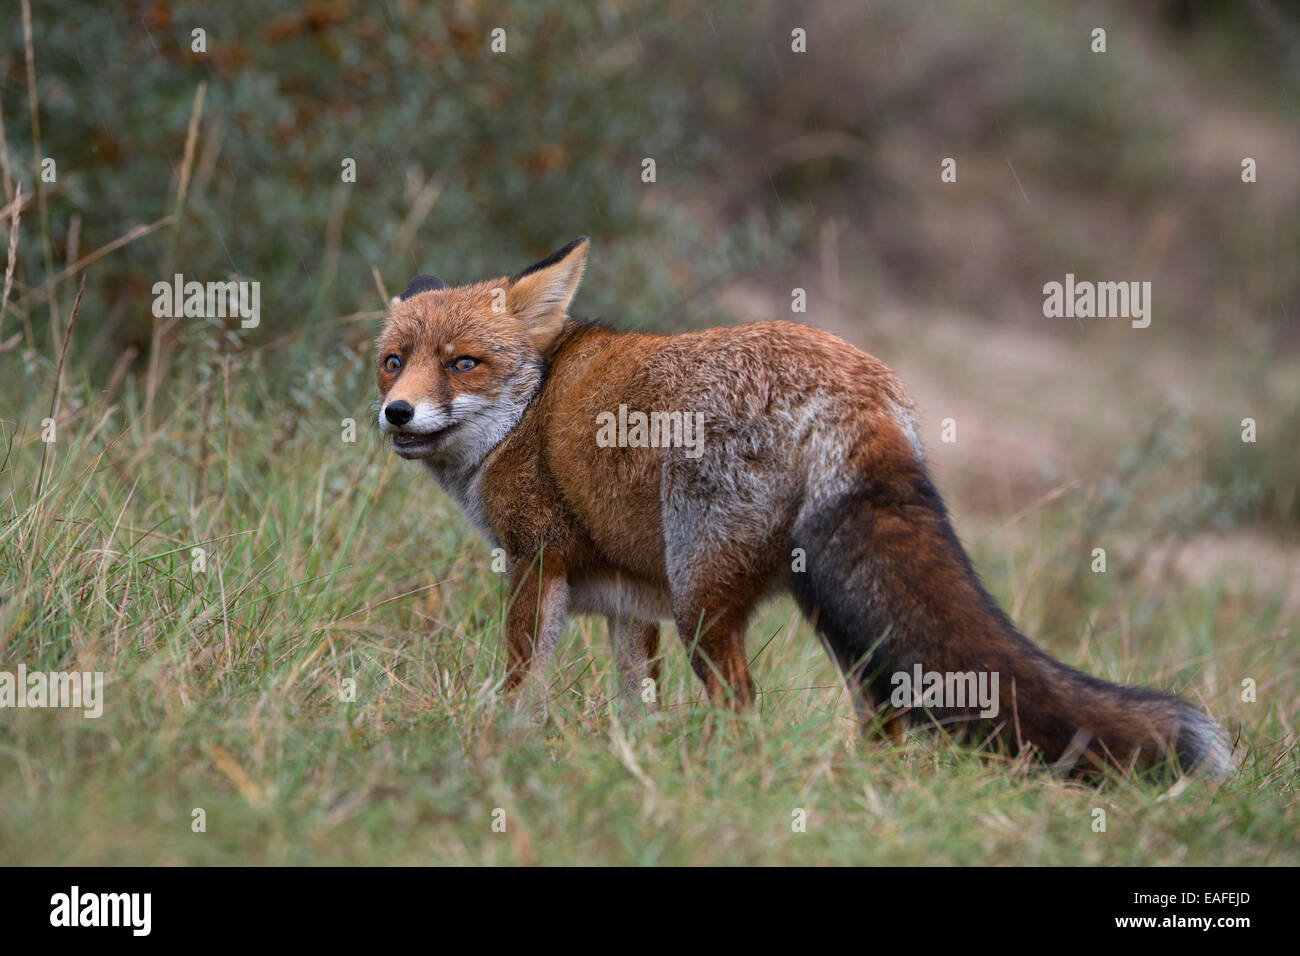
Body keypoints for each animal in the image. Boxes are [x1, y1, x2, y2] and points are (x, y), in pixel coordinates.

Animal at [374, 236, 1234, 778]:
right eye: (392, 360)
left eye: (463, 363)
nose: (395, 412)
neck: (529, 411)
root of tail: (860, 382)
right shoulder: (632, 605)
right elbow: (634, 704)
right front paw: (629, 762)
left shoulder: (537, 564)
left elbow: (522, 683)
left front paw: (500, 747)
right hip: (827, 598)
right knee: (881, 710)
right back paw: (861, 790)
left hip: (706, 603)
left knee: (744, 708)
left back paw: (731, 780)